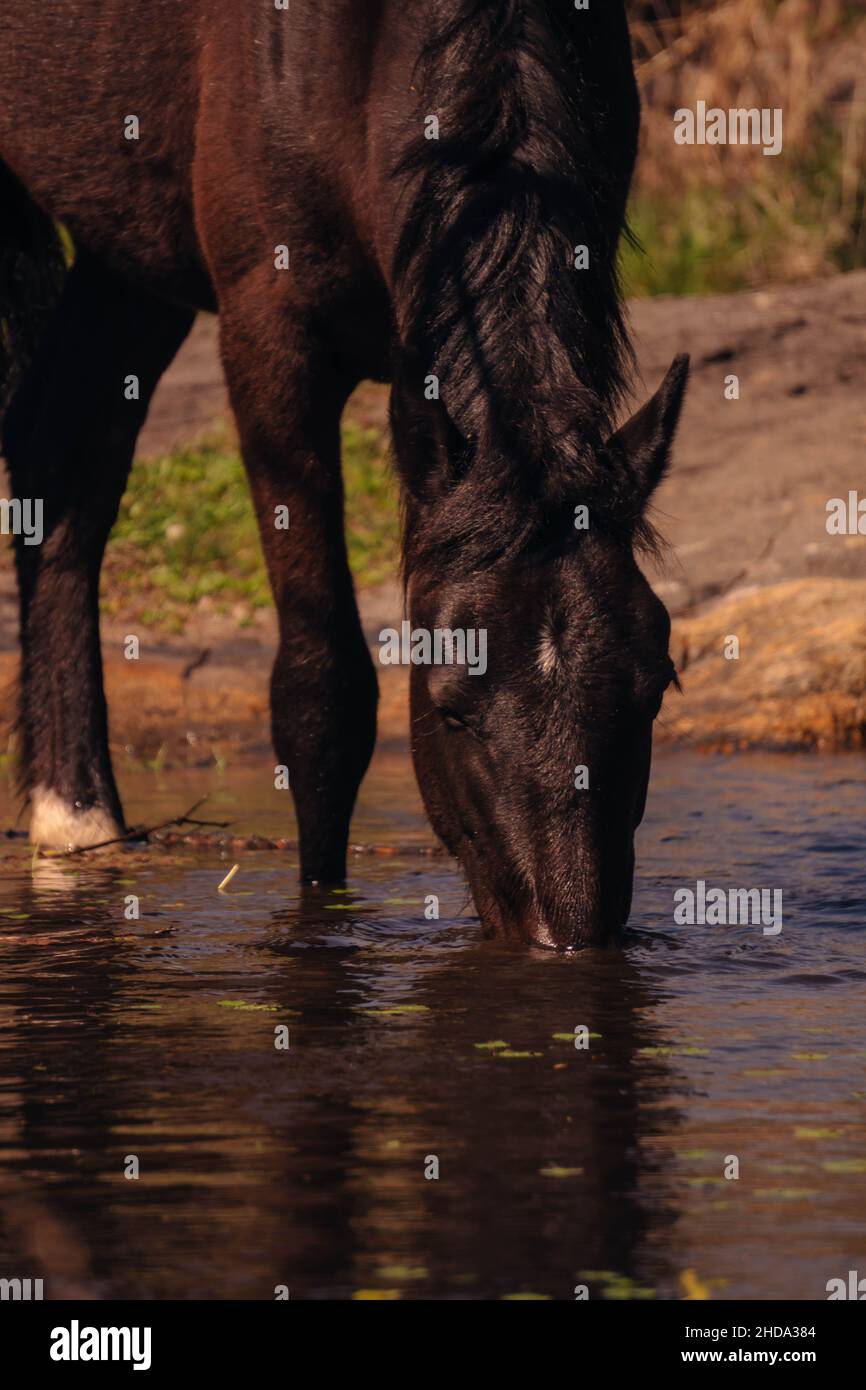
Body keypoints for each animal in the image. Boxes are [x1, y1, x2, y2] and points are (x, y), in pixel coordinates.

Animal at [0, 0, 688, 948]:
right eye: (447, 705)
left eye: (655, 686)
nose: (568, 937)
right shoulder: (271, 337)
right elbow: (322, 695)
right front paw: (317, 928)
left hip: (132, 241)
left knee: (60, 461)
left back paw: (77, 819)